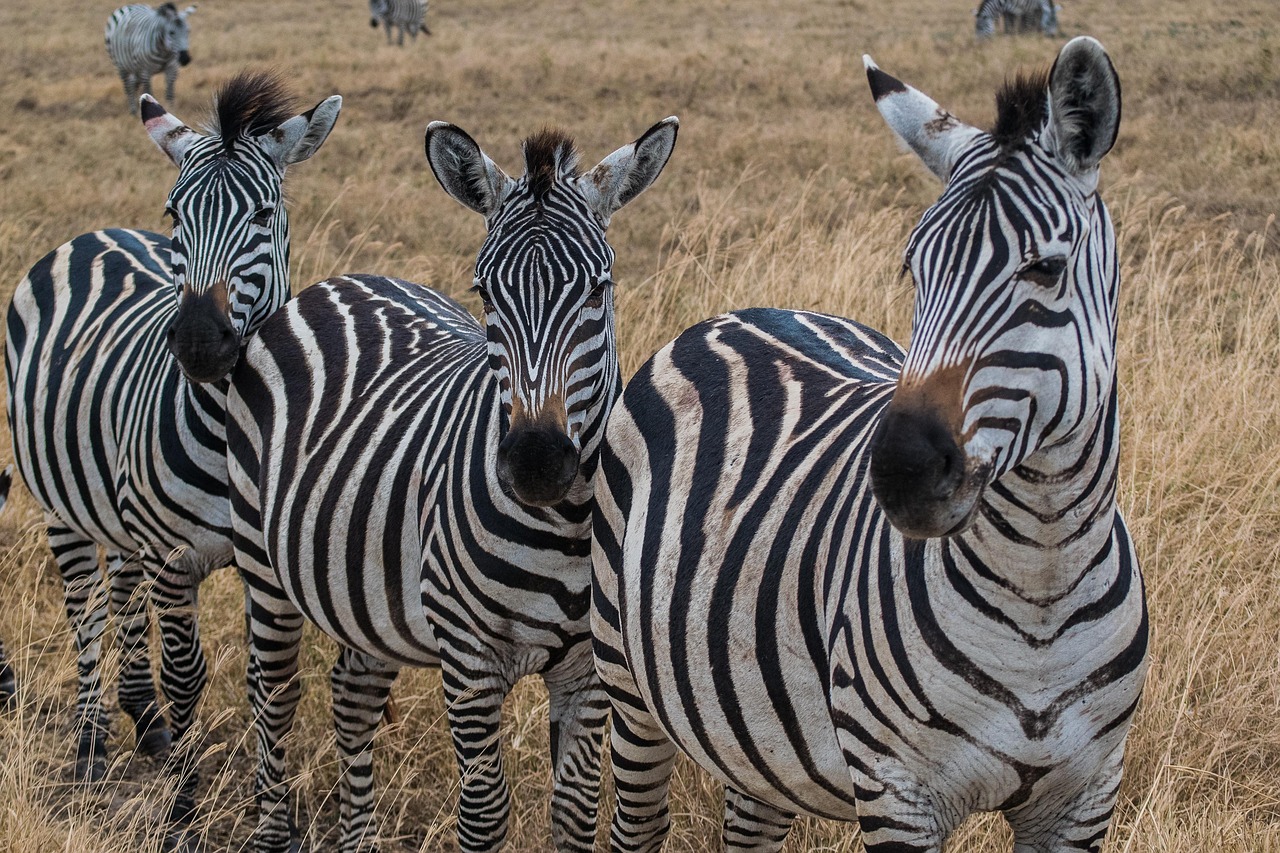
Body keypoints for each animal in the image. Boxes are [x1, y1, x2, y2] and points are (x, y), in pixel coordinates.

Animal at [6, 72, 340, 827]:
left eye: (264, 214)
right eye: (174, 212)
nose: (197, 344)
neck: (227, 432)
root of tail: (96, 234)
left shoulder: (263, 567)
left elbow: (269, 684)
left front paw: (274, 810)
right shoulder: (172, 556)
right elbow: (186, 673)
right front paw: (185, 805)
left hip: (119, 510)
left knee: (121, 590)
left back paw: (144, 719)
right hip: (62, 506)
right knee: (88, 610)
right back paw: (92, 745)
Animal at [226, 116, 678, 852]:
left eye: (598, 289)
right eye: (485, 293)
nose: (536, 462)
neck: (565, 528)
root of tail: (341, 282)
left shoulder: (588, 672)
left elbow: (575, 813)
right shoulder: (467, 660)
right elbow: (484, 813)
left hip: (365, 596)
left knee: (351, 697)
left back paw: (358, 839)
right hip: (261, 562)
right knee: (272, 694)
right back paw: (272, 829)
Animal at [592, 36, 1146, 853]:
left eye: (1045, 268)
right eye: (914, 268)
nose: (901, 472)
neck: (1040, 591)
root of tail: (744, 311)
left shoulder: (1085, 795)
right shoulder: (897, 790)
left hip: (756, 737)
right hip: (626, 678)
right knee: (636, 816)